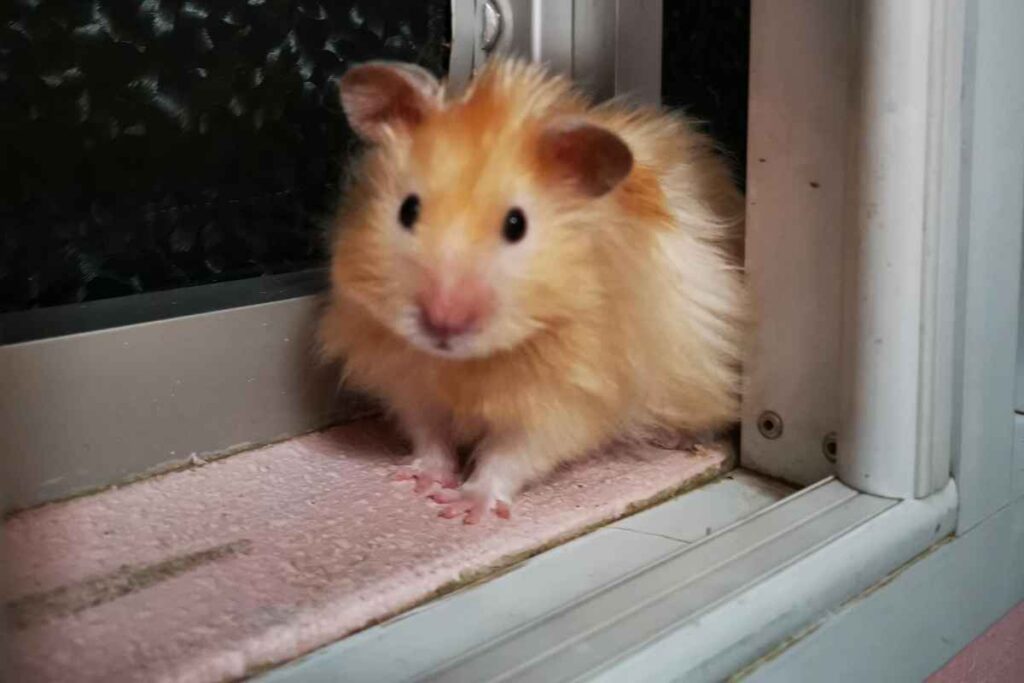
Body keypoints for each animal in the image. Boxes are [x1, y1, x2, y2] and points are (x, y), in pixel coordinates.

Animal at [319, 59, 747, 524]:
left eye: (516, 225)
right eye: (408, 209)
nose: (443, 323)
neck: (464, 364)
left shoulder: (567, 399)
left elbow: (509, 456)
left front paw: (465, 509)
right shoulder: (408, 381)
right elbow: (429, 435)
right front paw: (420, 482)